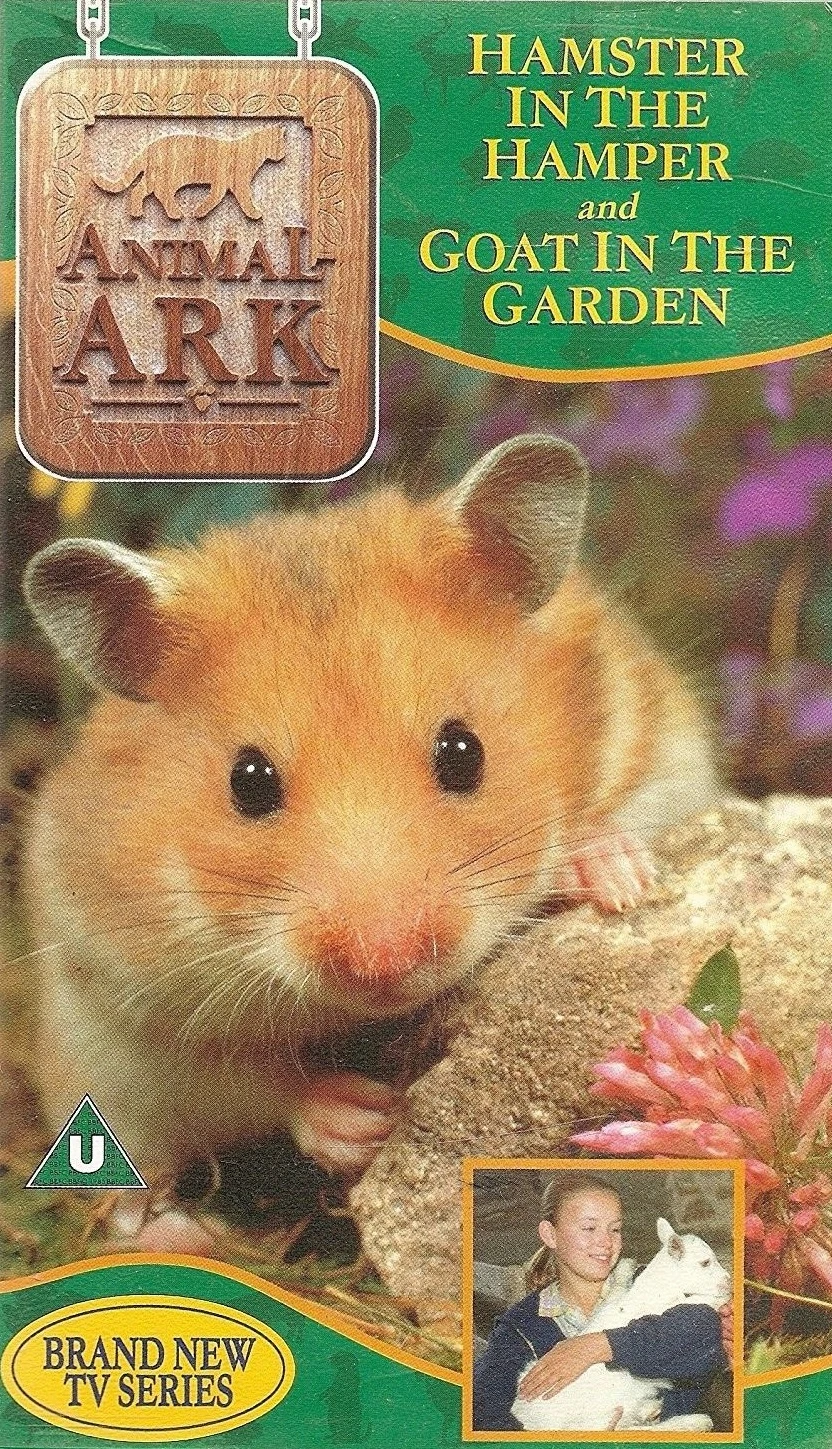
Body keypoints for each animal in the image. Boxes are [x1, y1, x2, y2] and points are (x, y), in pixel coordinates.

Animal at [22, 434, 717, 1213]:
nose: (389, 963)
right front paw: (368, 1120)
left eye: (463, 752)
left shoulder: (660, 750)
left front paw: (615, 877)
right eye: (248, 782)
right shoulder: (127, 998)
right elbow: (250, 1080)